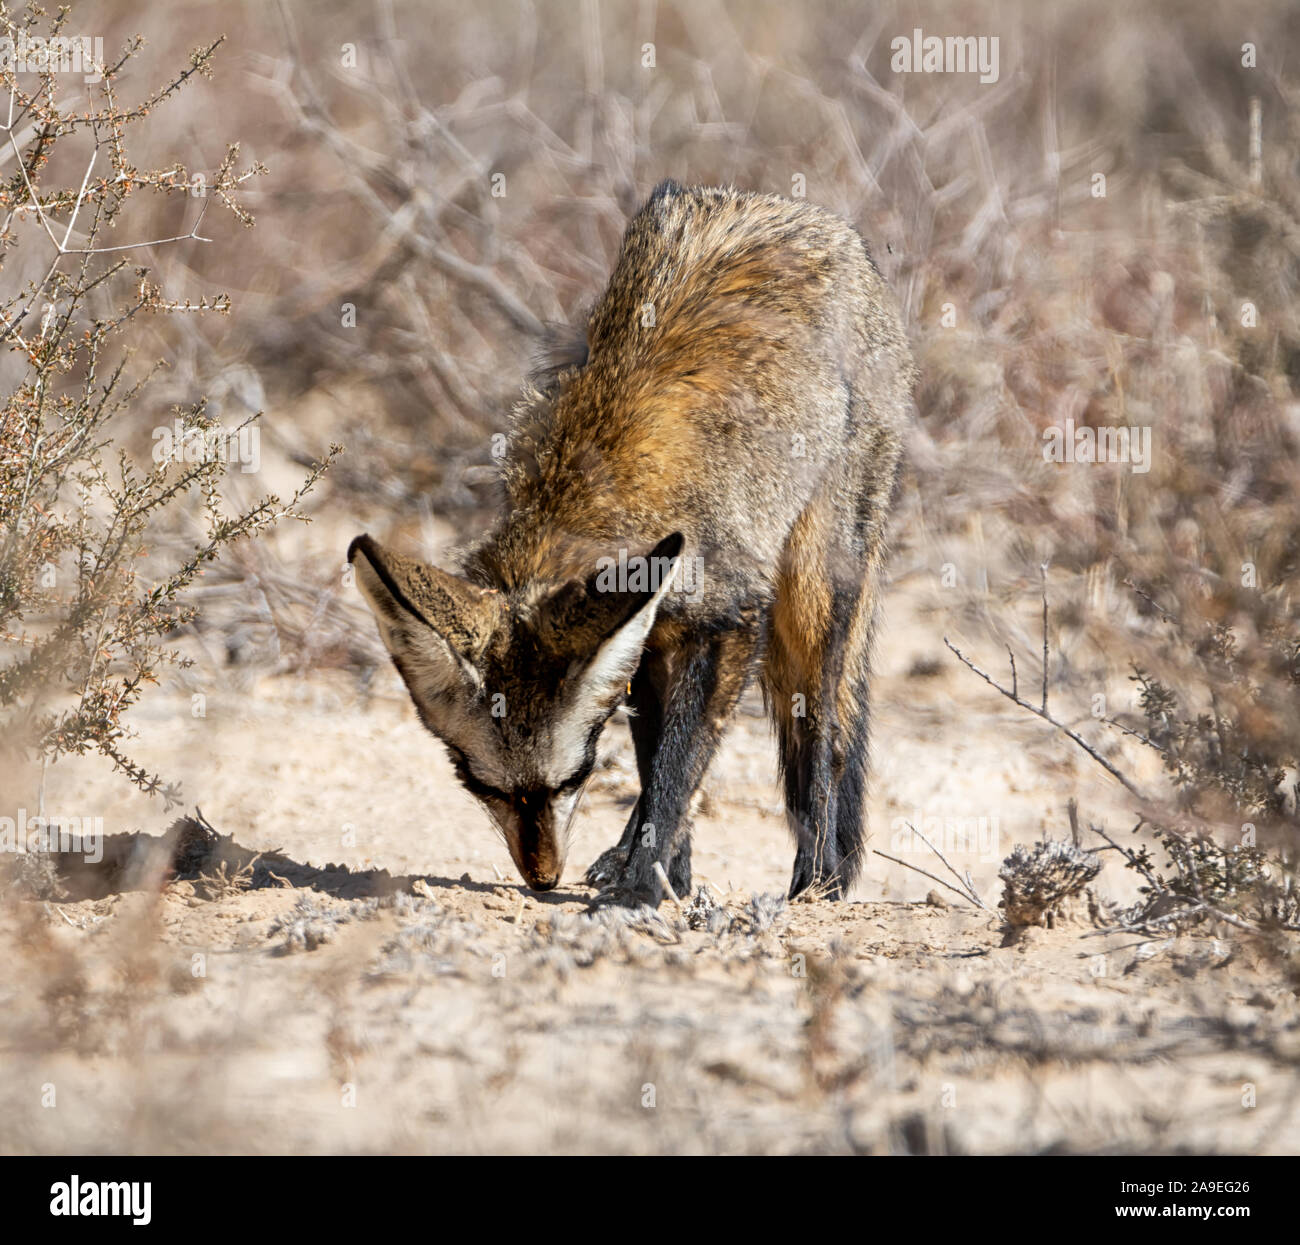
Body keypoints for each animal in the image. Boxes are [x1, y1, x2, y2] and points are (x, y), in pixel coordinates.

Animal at [349, 180, 915, 906]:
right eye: (482, 786)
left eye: (572, 779)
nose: (541, 879)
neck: (597, 481)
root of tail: (799, 211)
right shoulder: (647, 634)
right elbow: (652, 766)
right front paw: (668, 875)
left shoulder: (729, 621)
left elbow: (678, 772)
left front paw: (643, 884)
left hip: (816, 590)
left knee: (824, 735)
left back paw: (819, 876)